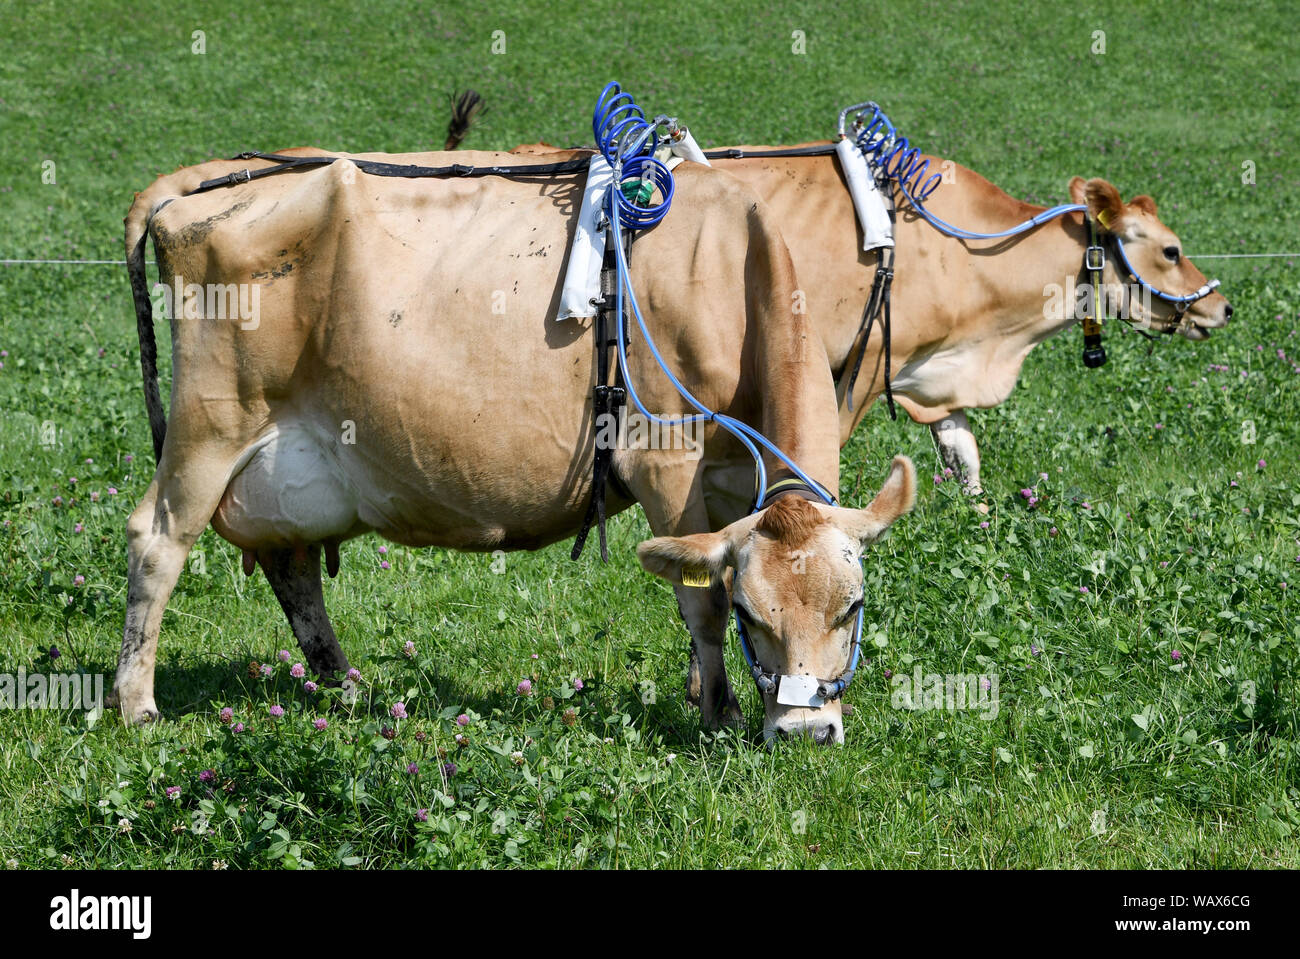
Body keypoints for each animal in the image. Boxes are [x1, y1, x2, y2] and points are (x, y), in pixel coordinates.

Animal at [116, 146, 917, 743]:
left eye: (852, 607)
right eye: (757, 615)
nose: (807, 732)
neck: (727, 273)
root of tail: (197, 181)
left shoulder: (725, 485)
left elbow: (703, 568)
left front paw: (703, 691)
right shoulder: (663, 458)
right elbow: (700, 602)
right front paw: (718, 715)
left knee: (292, 565)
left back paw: (345, 685)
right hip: (211, 424)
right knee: (157, 540)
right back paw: (135, 703)